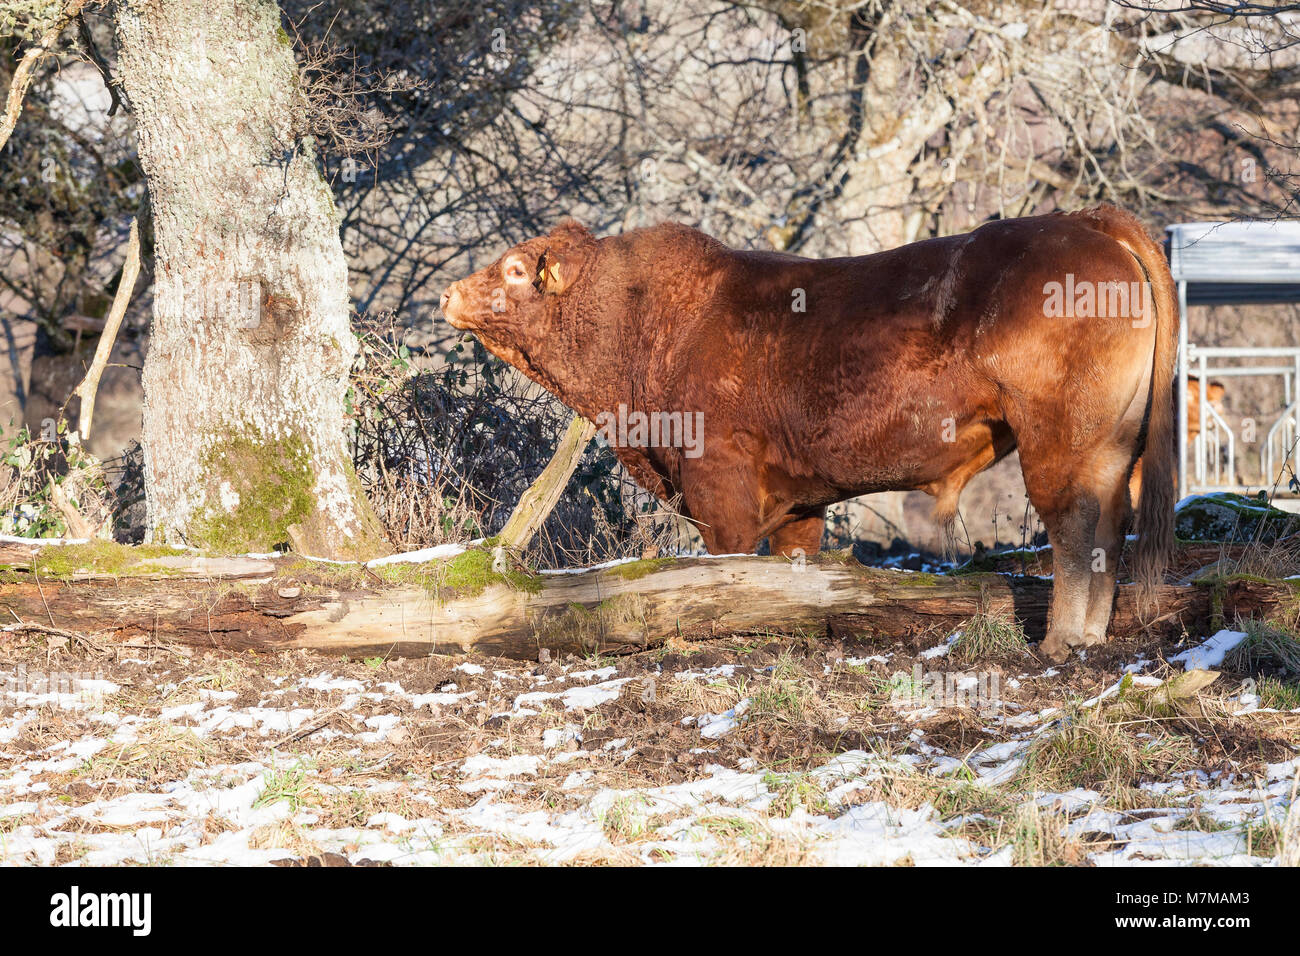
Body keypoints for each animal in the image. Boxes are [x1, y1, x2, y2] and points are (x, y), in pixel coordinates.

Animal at [440, 205, 1177, 663]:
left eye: (514, 270)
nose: (449, 294)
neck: (647, 321)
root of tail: (1082, 220)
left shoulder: (719, 485)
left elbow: (730, 560)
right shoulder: (797, 503)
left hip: (1060, 443)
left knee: (1075, 525)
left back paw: (1061, 641)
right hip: (1112, 445)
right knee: (1109, 523)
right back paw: (1090, 636)